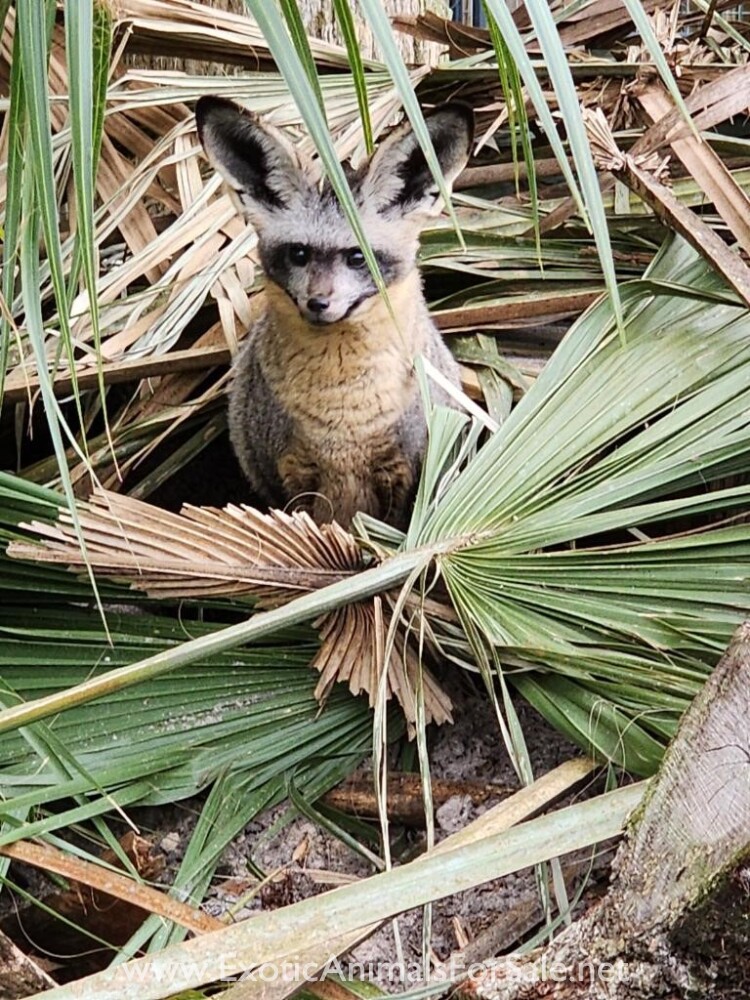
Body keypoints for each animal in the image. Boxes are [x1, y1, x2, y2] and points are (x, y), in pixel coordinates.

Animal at [195, 96, 473, 529]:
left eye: (357, 257)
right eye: (299, 254)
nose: (318, 303)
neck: (344, 412)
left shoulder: (403, 472)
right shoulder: (289, 477)